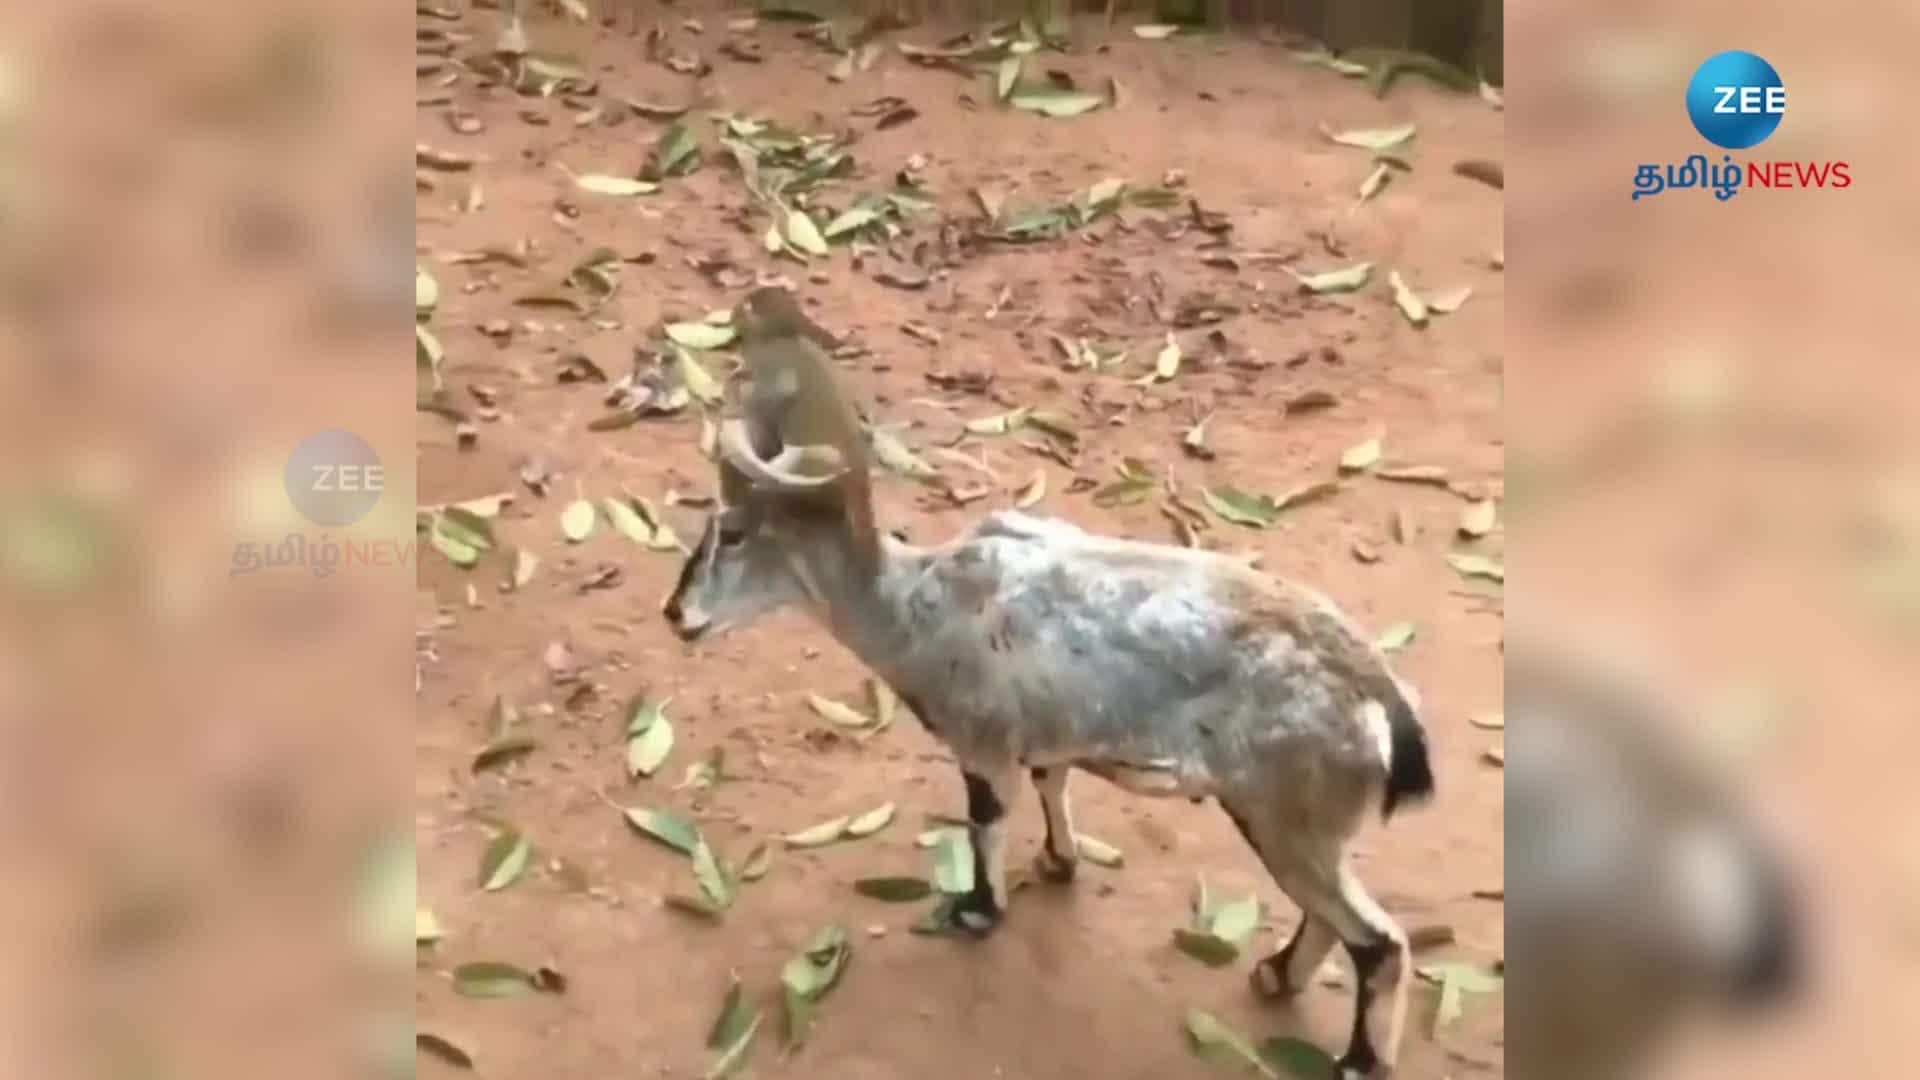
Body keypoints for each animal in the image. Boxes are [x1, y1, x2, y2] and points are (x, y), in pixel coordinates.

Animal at [663, 290, 1435, 1078]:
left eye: (732, 532)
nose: (676, 613)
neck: (914, 605)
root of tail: (1382, 704)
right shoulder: (1047, 738)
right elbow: (1050, 787)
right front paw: (1058, 860)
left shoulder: (981, 744)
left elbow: (985, 821)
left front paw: (977, 909)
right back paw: (1277, 973)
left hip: (1286, 820)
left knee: (1379, 941)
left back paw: (1355, 1055)